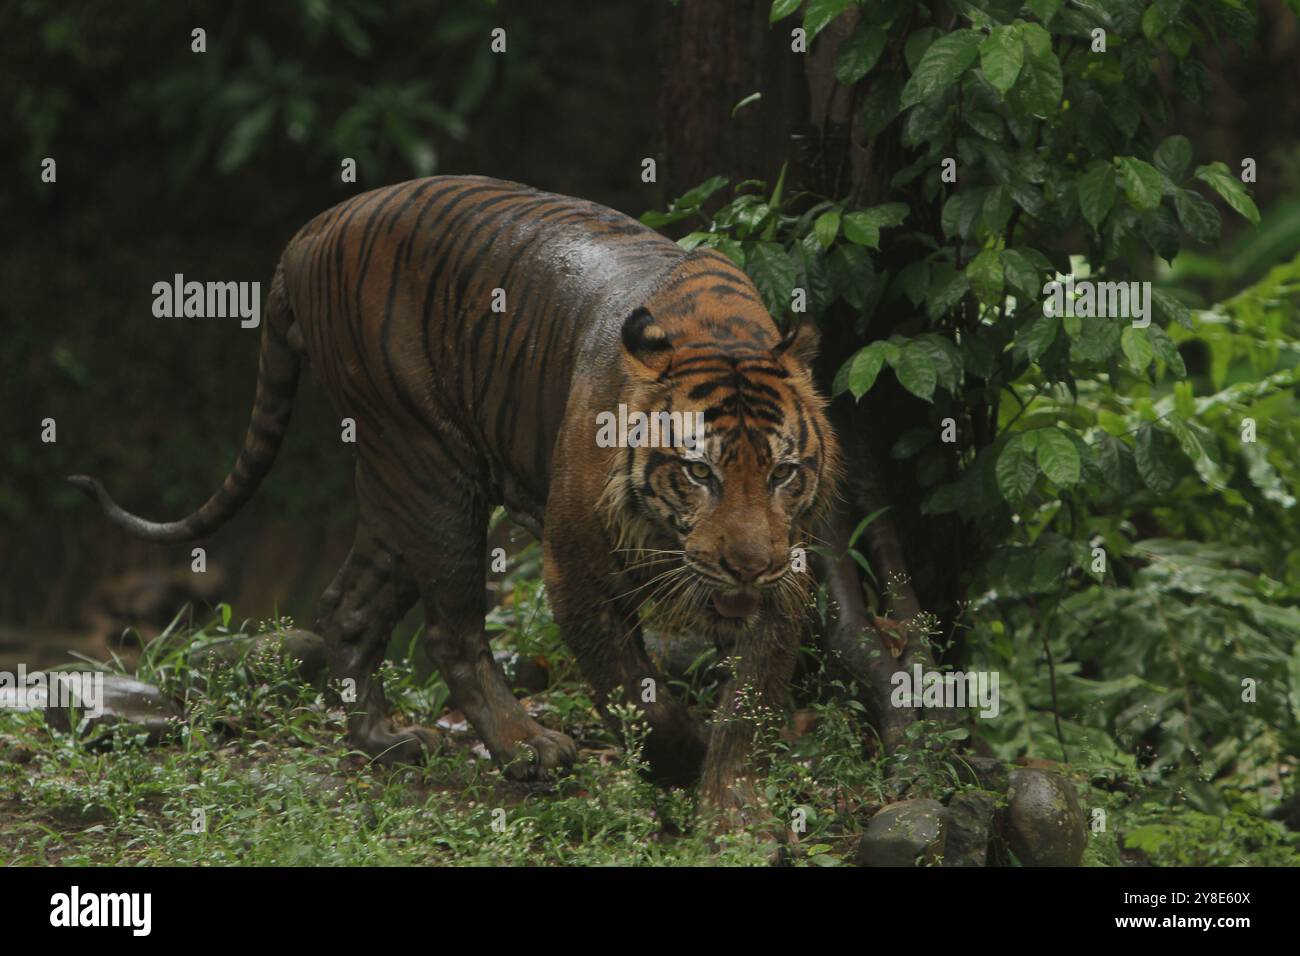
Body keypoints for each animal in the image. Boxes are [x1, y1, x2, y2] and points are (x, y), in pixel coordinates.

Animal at [70, 175, 840, 812]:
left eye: (783, 473)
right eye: (699, 472)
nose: (747, 566)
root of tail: (312, 230)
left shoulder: (788, 576)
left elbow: (751, 705)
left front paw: (737, 813)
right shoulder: (575, 568)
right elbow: (637, 696)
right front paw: (679, 760)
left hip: (398, 487)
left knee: (347, 607)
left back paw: (385, 740)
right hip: (430, 468)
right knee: (451, 629)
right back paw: (526, 747)